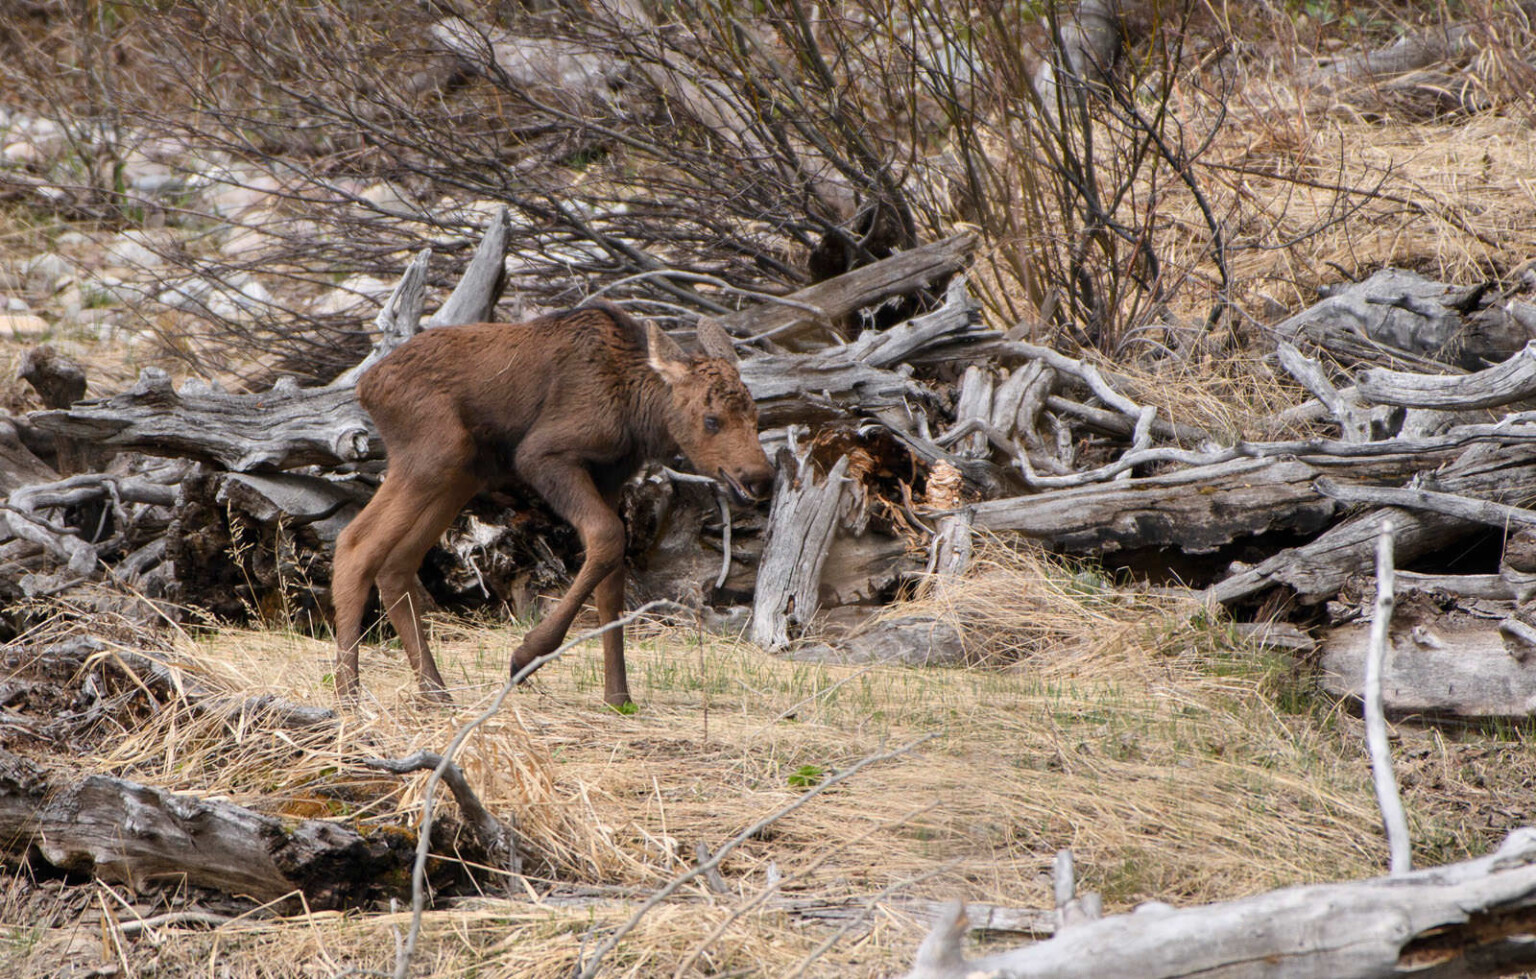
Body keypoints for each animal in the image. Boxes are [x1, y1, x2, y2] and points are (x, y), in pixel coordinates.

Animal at [330, 302, 775, 708]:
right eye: (711, 419)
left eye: (756, 416)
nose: (760, 477)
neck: (635, 410)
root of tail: (364, 387)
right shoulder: (544, 455)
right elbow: (606, 537)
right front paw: (527, 656)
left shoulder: (609, 477)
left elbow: (612, 582)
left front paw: (618, 696)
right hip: (436, 454)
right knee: (356, 542)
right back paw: (348, 694)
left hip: (461, 473)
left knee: (396, 562)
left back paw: (435, 691)